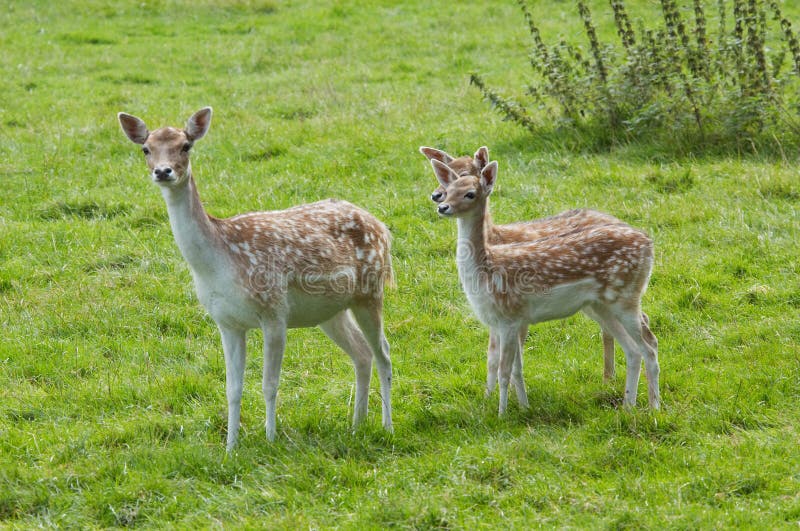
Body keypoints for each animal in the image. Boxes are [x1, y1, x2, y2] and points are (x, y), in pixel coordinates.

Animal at [118, 107, 393, 450]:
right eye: (146, 149)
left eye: (185, 146)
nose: (163, 171)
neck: (219, 263)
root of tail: (382, 227)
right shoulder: (226, 322)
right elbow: (232, 389)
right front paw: (231, 447)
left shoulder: (274, 311)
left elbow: (269, 384)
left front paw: (271, 439)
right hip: (330, 311)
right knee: (362, 353)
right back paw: (357, 425)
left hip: (371, 290)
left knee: (384, 354)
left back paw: (386, 426)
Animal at [429, 155, 660, 414]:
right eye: (449, 190)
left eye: (469, 193)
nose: (442, 206)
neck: (486, 273)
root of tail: (649, 243)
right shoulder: (503, 321)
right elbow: (508, 366)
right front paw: (520, 407)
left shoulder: (509, 317)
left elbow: (504, 370)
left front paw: (501, 415)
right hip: (602, 305)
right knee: (632, 349)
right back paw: (628, 407)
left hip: (626, 296)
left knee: (649, 345)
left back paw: (654, 407)